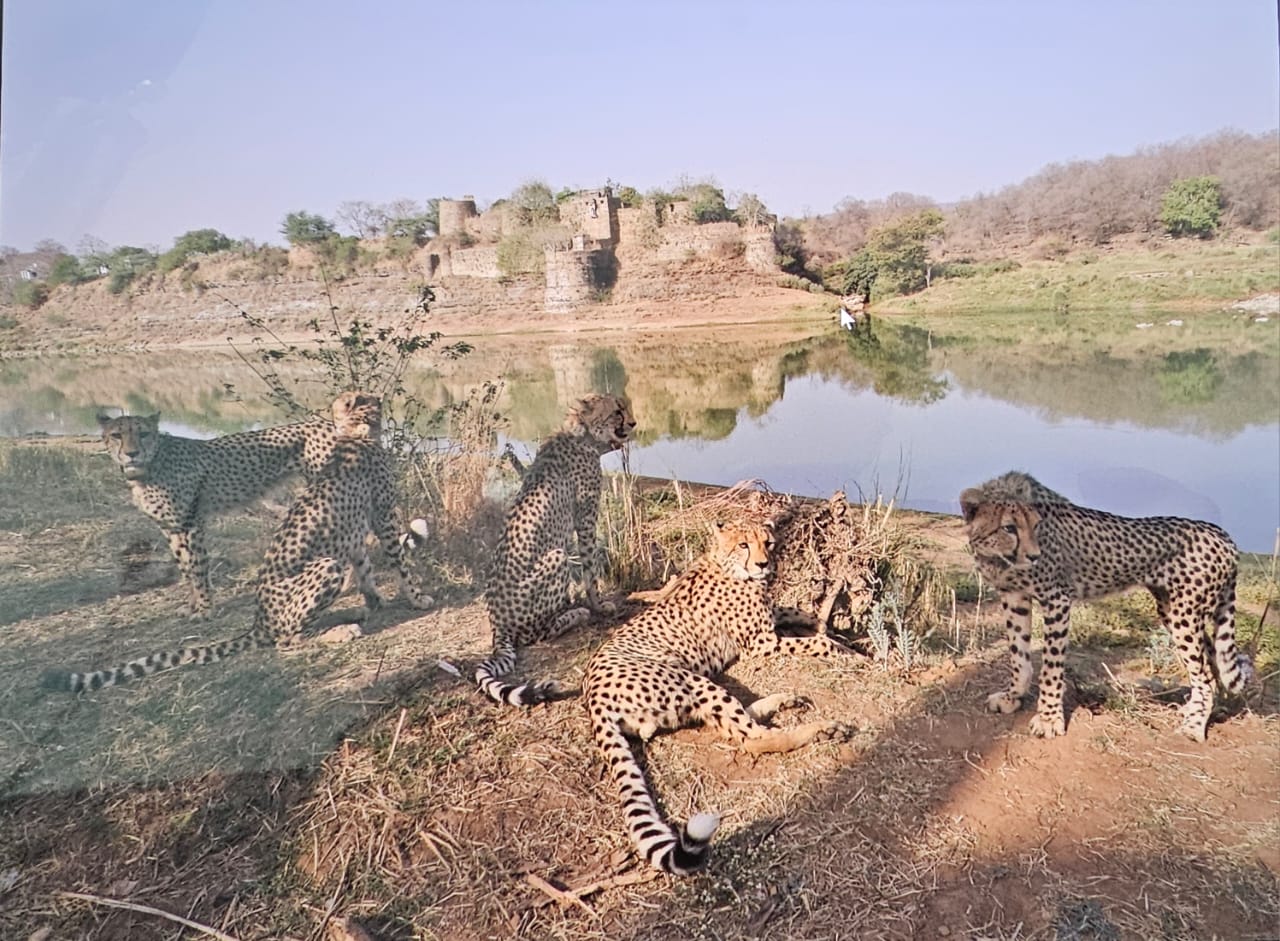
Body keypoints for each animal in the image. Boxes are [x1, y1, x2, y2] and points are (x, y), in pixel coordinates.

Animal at [99, 391, 385, 616]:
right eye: (116, 435)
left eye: (144, 433)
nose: (132, 453)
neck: (151, 464)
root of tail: (329, 425)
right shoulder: (171, 527)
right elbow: (184, 568)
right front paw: (192, 605)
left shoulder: (191, 524)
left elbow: (197, 567)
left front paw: (205, 609)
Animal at [476, 392, 636, 706]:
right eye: (617, 411)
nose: (633, 423)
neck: (582, 436)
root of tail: (497, 623)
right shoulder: (585, 519)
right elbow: (590, 568)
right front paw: (598, 605)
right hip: (555, 557)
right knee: (537, 634)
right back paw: (575, 614)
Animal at [583, 520, 856, 875]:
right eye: (743, 545)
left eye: (768, 542)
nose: (763, 564)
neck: (727, 565)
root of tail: (592, 697)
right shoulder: (761, 644)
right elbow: (818, 643)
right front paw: (847, 651)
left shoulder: (770, 622)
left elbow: (793, 609)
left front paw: (826, 623)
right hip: (691, 679)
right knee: (754, 738)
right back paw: (823, 729)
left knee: (742, 720)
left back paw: (784, 700)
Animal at [960, 471, 1252, 742]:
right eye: (1009, 528)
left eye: (1036, 525)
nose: (1034, 556)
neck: (999, 559)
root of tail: (1224, 535)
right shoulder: (1014, 596)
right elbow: (1018, 655)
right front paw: (1013, 697)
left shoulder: (1057, 600)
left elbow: (1051, 668)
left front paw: (1049, 719)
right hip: (1173, 610)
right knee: (1210, 665)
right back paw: (1193, 711)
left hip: (1185, 615)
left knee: (1203, 675)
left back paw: (1194, 727)